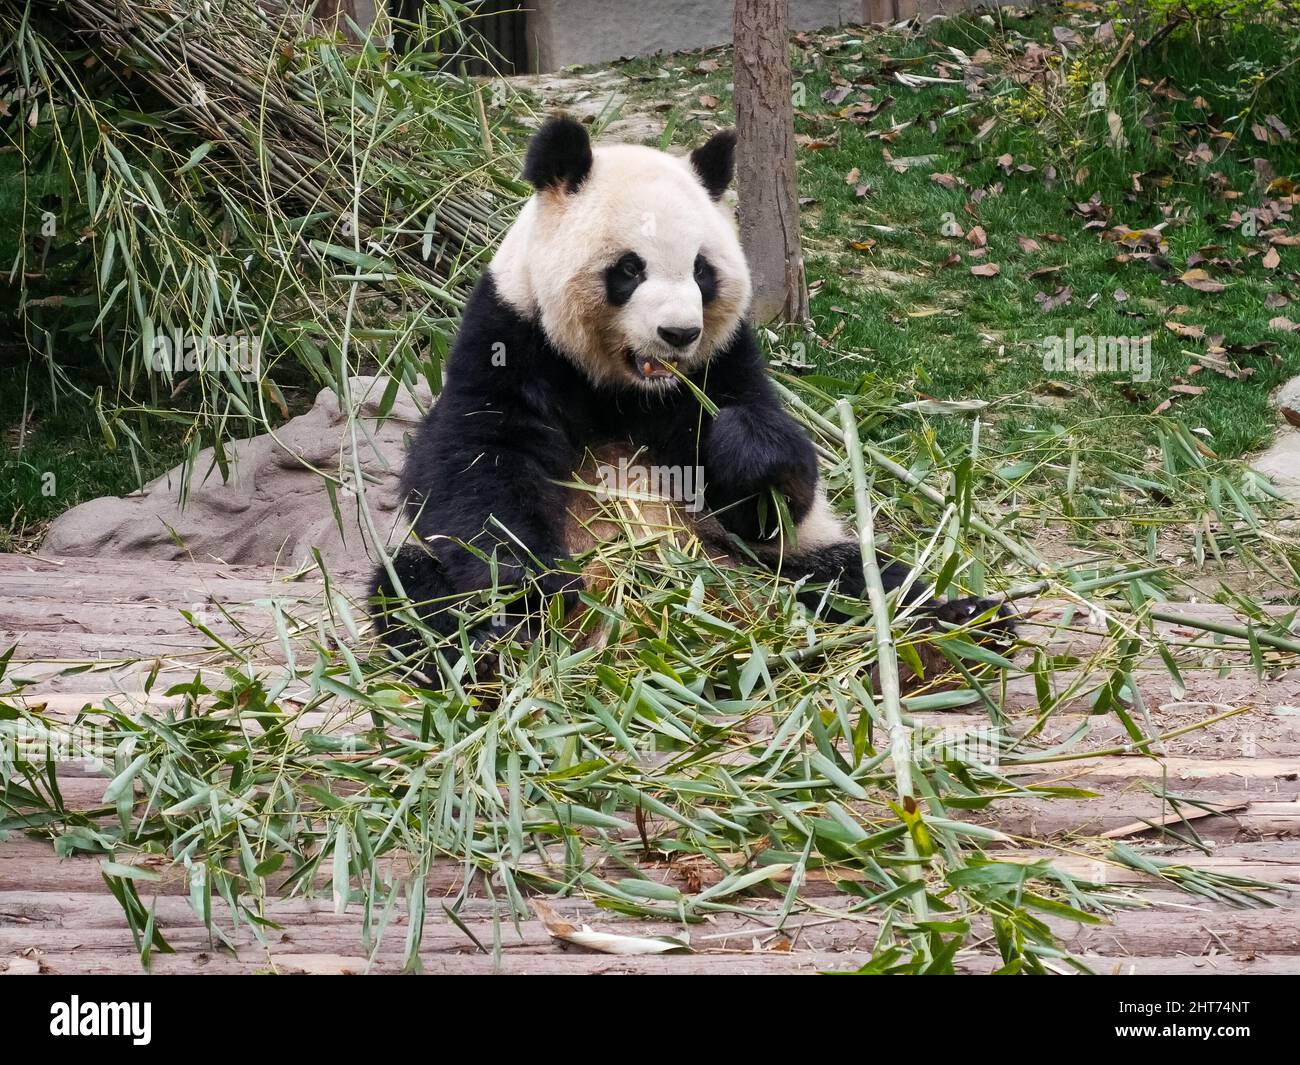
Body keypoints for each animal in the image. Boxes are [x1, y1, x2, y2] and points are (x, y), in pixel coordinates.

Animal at [373, 115, 1005, 672]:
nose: (678, 333)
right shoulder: (509, 338)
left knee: (862, 579)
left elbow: (771, 496)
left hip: (787, 563)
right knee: (412, 590)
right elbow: (475, 469)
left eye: (703, 271)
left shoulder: (722, 364)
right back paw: (489, 648)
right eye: (629, 269)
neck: (623, 387)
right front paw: (540, 586)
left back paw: (966, 621)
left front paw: (746, 445)